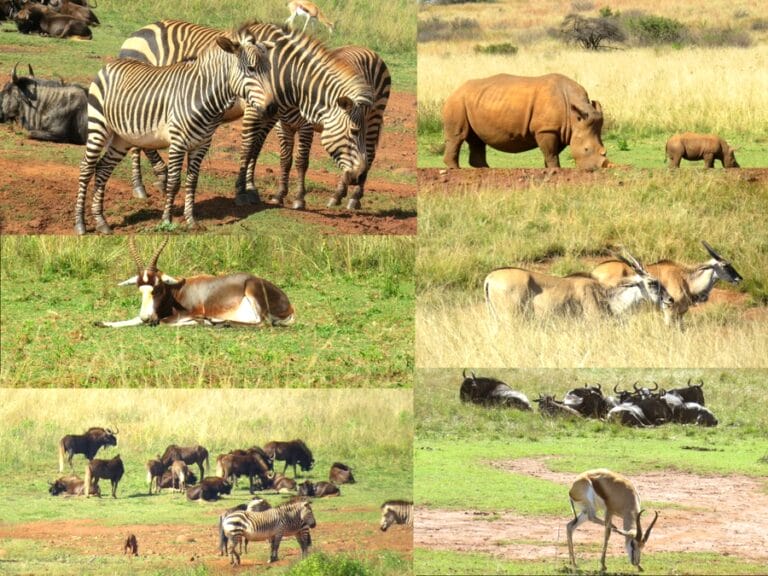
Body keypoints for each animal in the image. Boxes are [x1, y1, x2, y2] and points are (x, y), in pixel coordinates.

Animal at [442, 73, 608, 170]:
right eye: (586, 149)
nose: (602, 167)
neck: (574, 117)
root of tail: (455, 90)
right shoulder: (546, 129)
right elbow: (551, 151)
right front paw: (556, 170)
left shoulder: (562, 129)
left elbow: (553, 151)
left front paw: (549, 168)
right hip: (458, 101)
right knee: (458, 136)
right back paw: (455, 170)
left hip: (473, 101)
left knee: (477, 139)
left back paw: (485, 169)